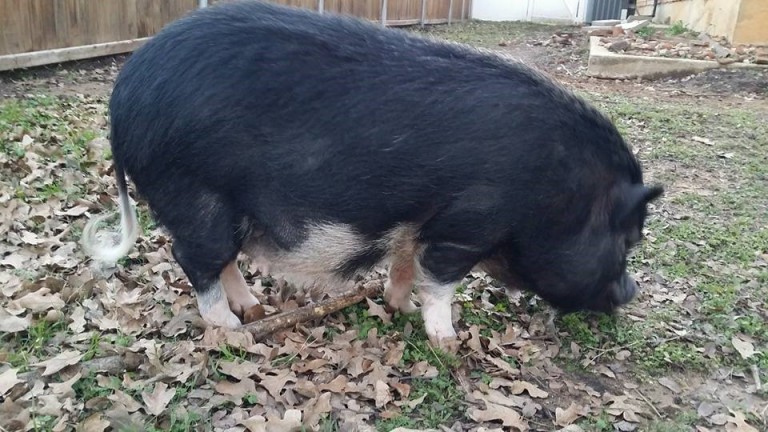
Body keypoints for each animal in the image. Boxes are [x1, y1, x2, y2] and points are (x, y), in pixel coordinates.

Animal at [81, 0, 663, 351]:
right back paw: (234, 330)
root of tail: (123, 93)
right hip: (193, 194)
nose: (633, 290)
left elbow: (406, 263)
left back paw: (253, 308)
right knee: (193, 258)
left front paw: (398, 306)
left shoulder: (418, 222)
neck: (560, 195)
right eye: (627, 240)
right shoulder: (466, 224)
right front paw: (449, 341)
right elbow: (441, 280)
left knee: (218, 259)